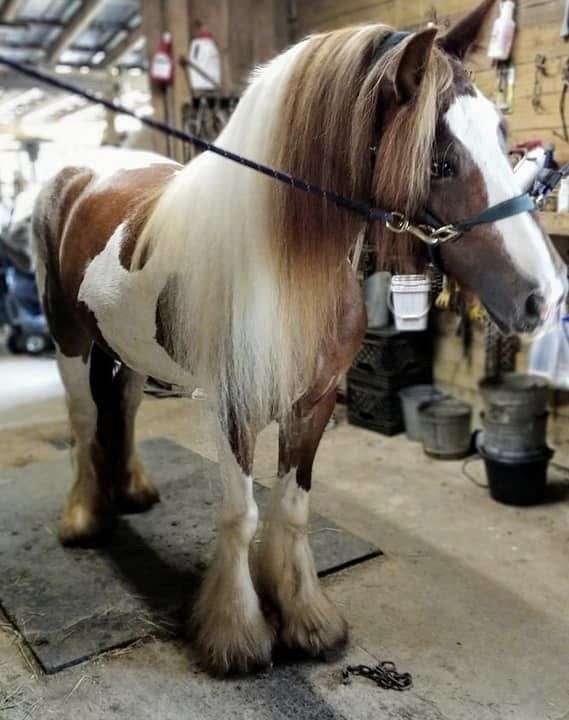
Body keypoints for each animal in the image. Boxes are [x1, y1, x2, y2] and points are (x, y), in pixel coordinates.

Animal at [32, 0, 567, 676]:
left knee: (122, 409)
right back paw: (84, 516)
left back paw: (132, 488)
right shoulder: (231, 407)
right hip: (69, 339)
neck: (280, 263)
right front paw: (235, 632)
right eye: (438, 162)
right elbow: (241, 512)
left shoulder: (313, 402)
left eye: (501, 136)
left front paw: (306, 618)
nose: (543, 296)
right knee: (82, 420)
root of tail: (84, 175)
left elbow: (291, 507)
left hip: (126, 347)